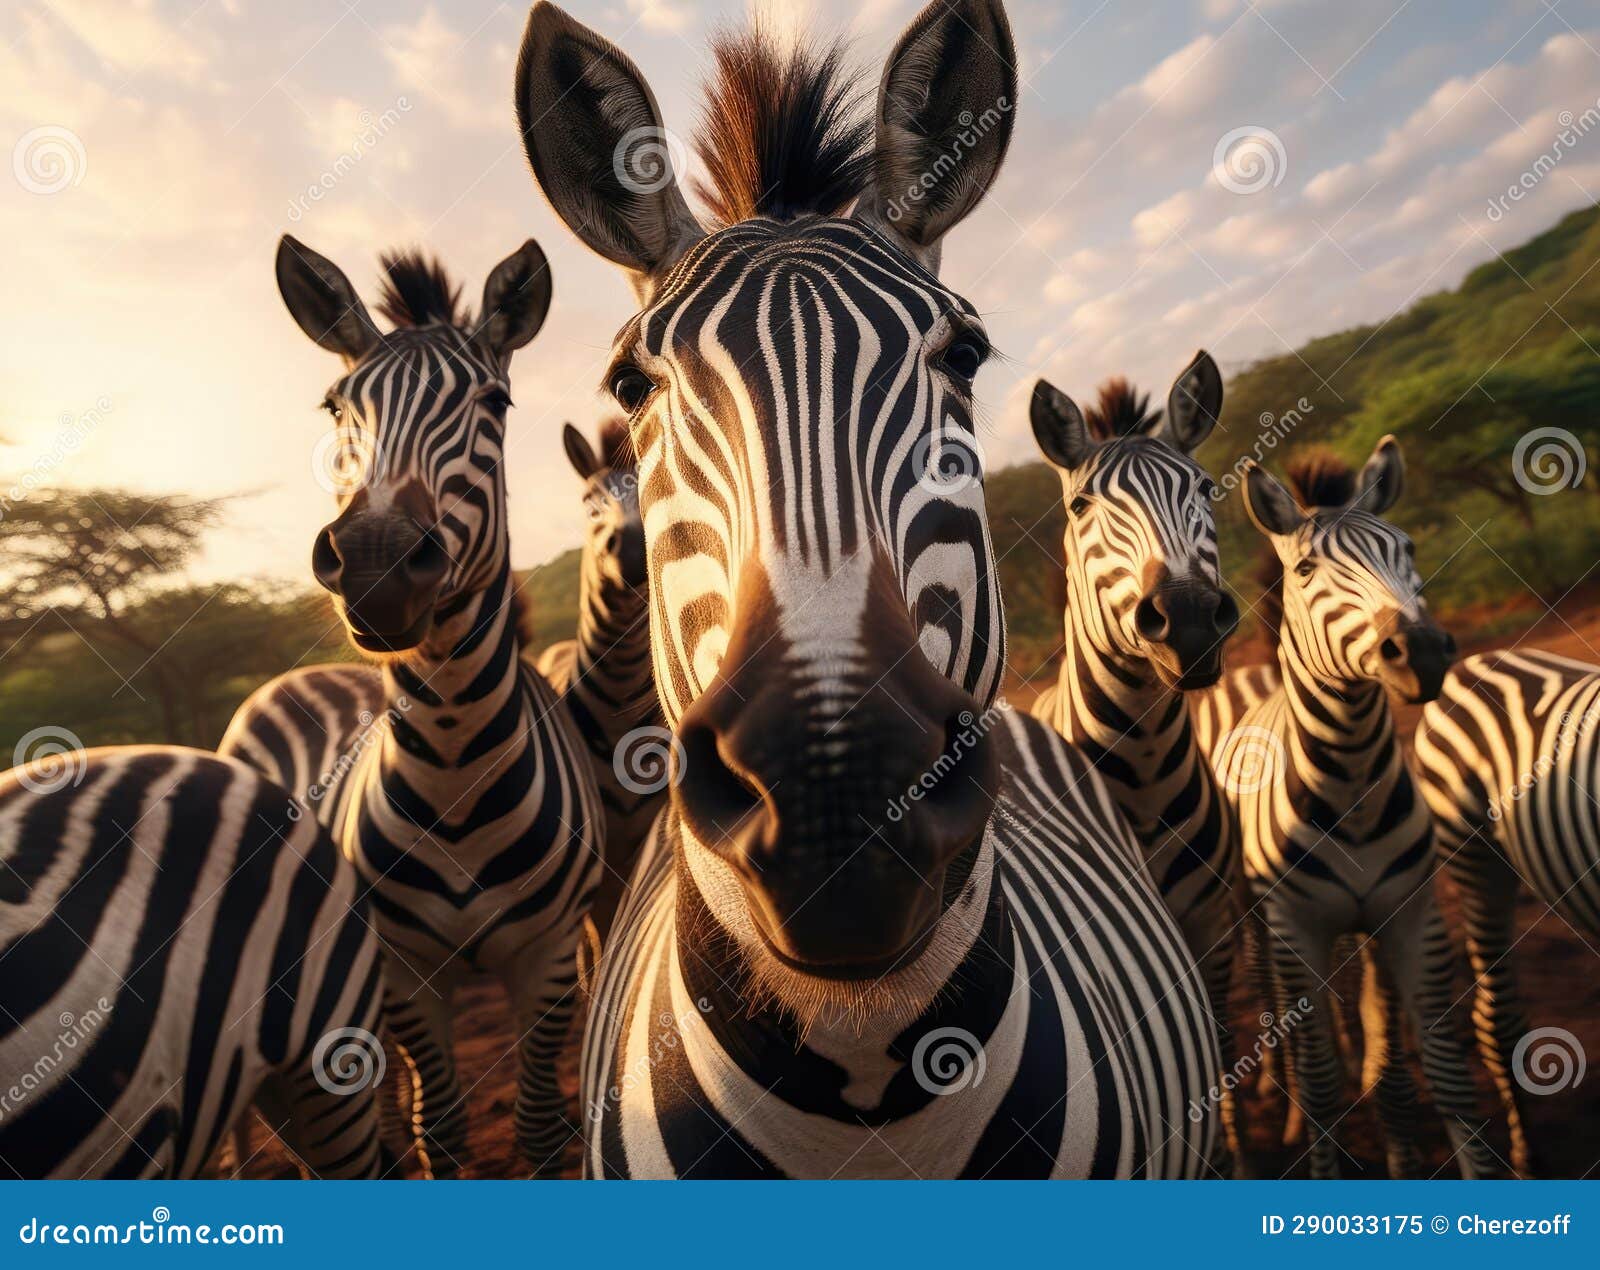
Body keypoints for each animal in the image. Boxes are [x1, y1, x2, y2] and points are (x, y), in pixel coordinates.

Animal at [219, 238, 603, 1178]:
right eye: (335, 406)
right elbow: (444, 1127)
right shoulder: (404, 969)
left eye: (495, 403)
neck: (455, 756)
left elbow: (540, 1127)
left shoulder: (547, 959)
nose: (377, 564)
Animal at [1026, 358, 1251, 1172]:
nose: (1187, 621)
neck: (1147, 775)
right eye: (1081, 504)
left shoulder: (1210, 929)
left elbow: (1218, 1053)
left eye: (1207, 489)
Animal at [1220, 439, 1500, 1178]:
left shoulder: (1410, 916)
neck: (1352, 790)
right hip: (1256, 912)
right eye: (1307, 569)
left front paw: (1408, 1149)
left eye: (1406, 548)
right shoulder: (1295, 927)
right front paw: (1318, 1143)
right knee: (1279, 1002)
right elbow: (1321, 1082)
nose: (1422, 651)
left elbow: (1432, 1074)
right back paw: (1283, 1098)